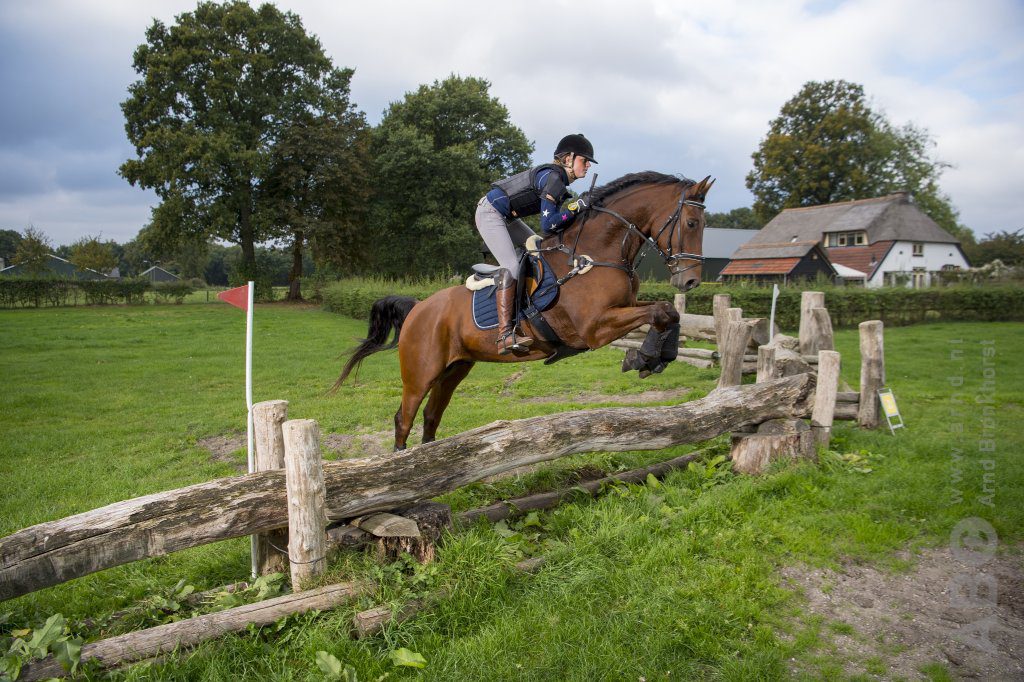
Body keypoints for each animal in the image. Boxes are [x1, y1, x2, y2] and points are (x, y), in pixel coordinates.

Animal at [334, 171, 714, 450]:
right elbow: (660, 312)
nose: (691, 281)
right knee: (405, 418)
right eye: (692, 224)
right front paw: (643, 357)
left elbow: (667, 312)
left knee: (431, 416)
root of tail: (417, 308)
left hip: (454, 369)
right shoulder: (594, 328)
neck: (595, 253)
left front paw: (654, 357)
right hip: (420, 373)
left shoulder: (626, 307)